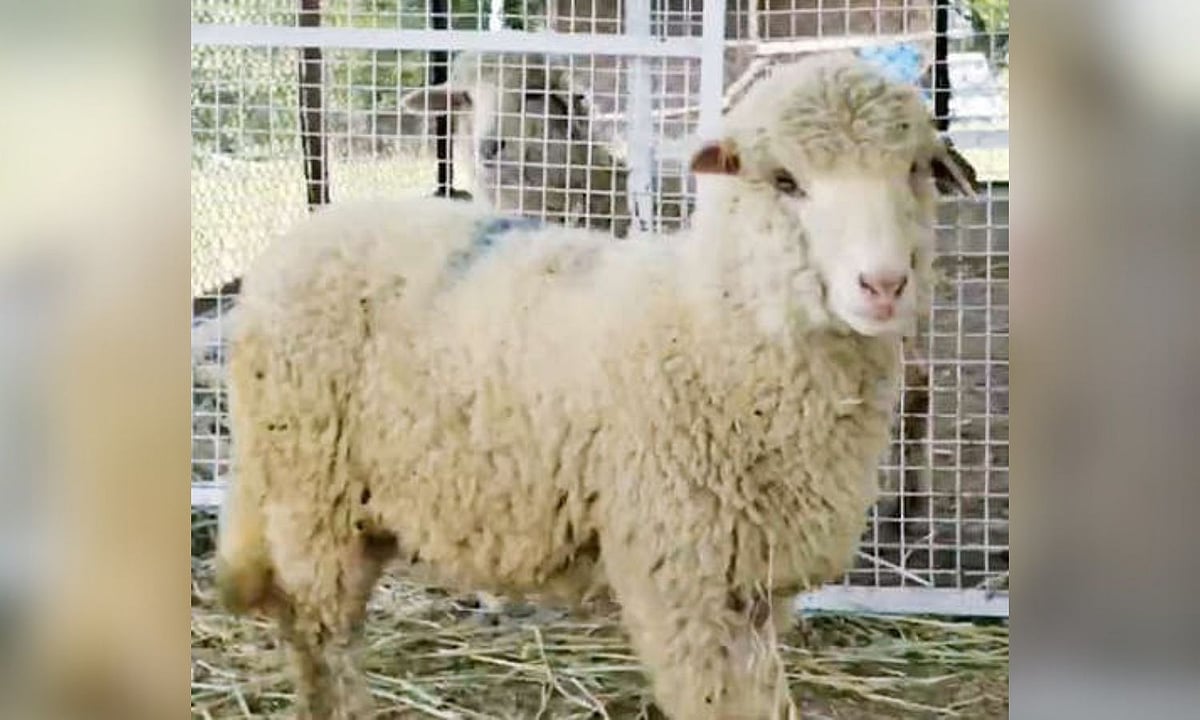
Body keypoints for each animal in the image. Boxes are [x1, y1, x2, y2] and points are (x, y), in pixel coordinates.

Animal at [214, 51, 976, 720]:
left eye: (915, 170)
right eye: (785, 180)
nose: (884, 285)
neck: (710, 320)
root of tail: (303, 235)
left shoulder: (754, 582)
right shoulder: (681, 577)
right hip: (308, 494)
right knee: (322, 636)